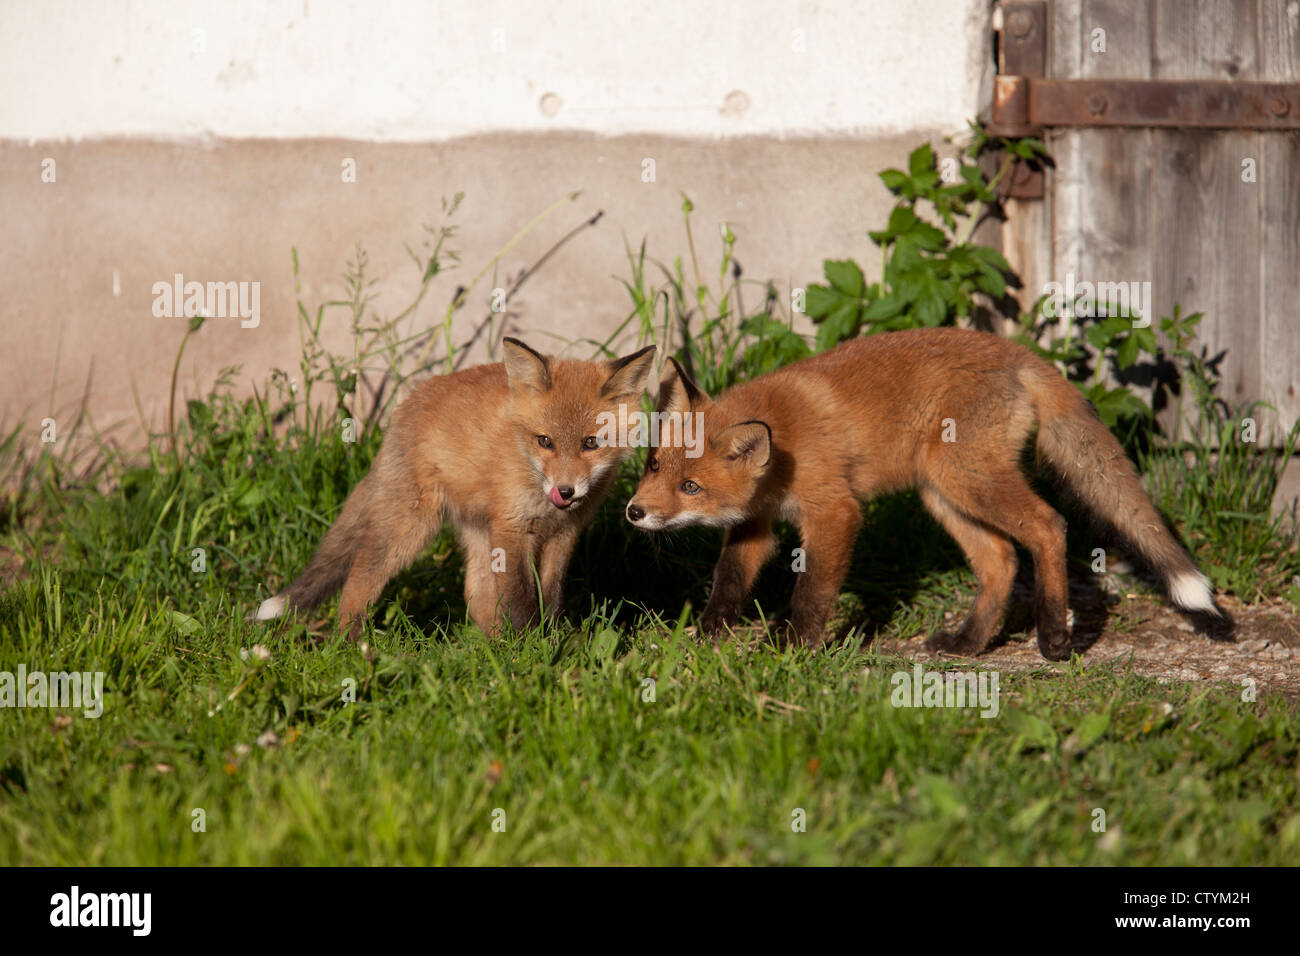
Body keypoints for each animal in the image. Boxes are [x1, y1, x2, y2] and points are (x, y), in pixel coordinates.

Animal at [255, 338, 657, 640]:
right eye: (545, 441)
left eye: (591, 443)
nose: (565, 491)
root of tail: (404, 407)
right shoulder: (511, 529)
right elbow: (521, 599)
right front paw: (530, 652)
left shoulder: (564, 535)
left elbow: (551, 597)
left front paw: (549, 642)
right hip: (411, 527)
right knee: (359, 579)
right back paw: (350, 644)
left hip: (476, 531)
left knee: (475, 598)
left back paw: (494, 646)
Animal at [625, 327, 1223, 661]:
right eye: (653, 466)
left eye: (690, 487)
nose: (633, 512)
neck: (782, 449)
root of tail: (1018, 352)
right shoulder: (756, 523)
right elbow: (727, 581)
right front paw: (707, 634)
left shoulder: (836, 511)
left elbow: (812, 592)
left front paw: (792, 648)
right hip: (944, 495)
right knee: (1002, 561)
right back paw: (968, 643)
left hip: (966, 479)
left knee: (1049, 526)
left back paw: (1054, 635)